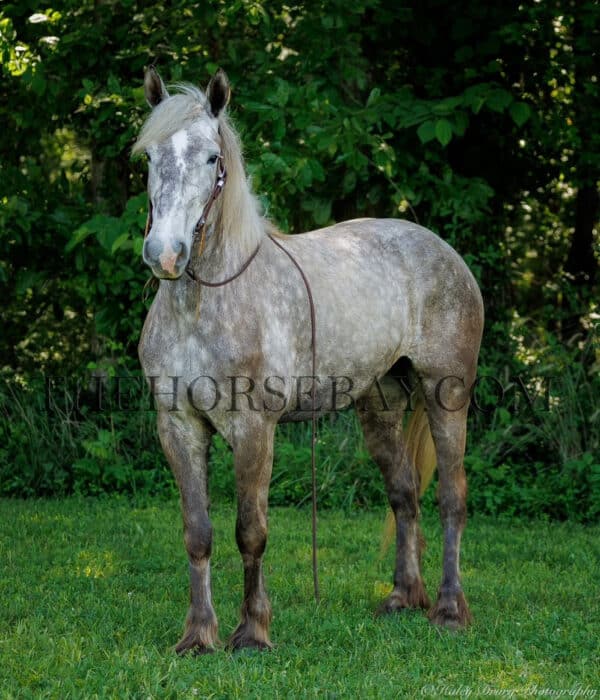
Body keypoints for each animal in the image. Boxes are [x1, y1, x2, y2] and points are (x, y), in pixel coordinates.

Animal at [133, 67, 484, 654]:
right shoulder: (178, 426)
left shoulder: (254, 428)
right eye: (150, 157)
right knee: (404, 495)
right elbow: (198, 532)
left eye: (211, 158)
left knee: (450, 497)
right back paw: (401, 598)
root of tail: (443, 252)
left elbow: (250, 531)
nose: (165, 253)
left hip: (447, 395)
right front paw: (198, 635)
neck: (204, 305)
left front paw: (252, 631)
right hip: (379, 403)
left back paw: (449, 611)